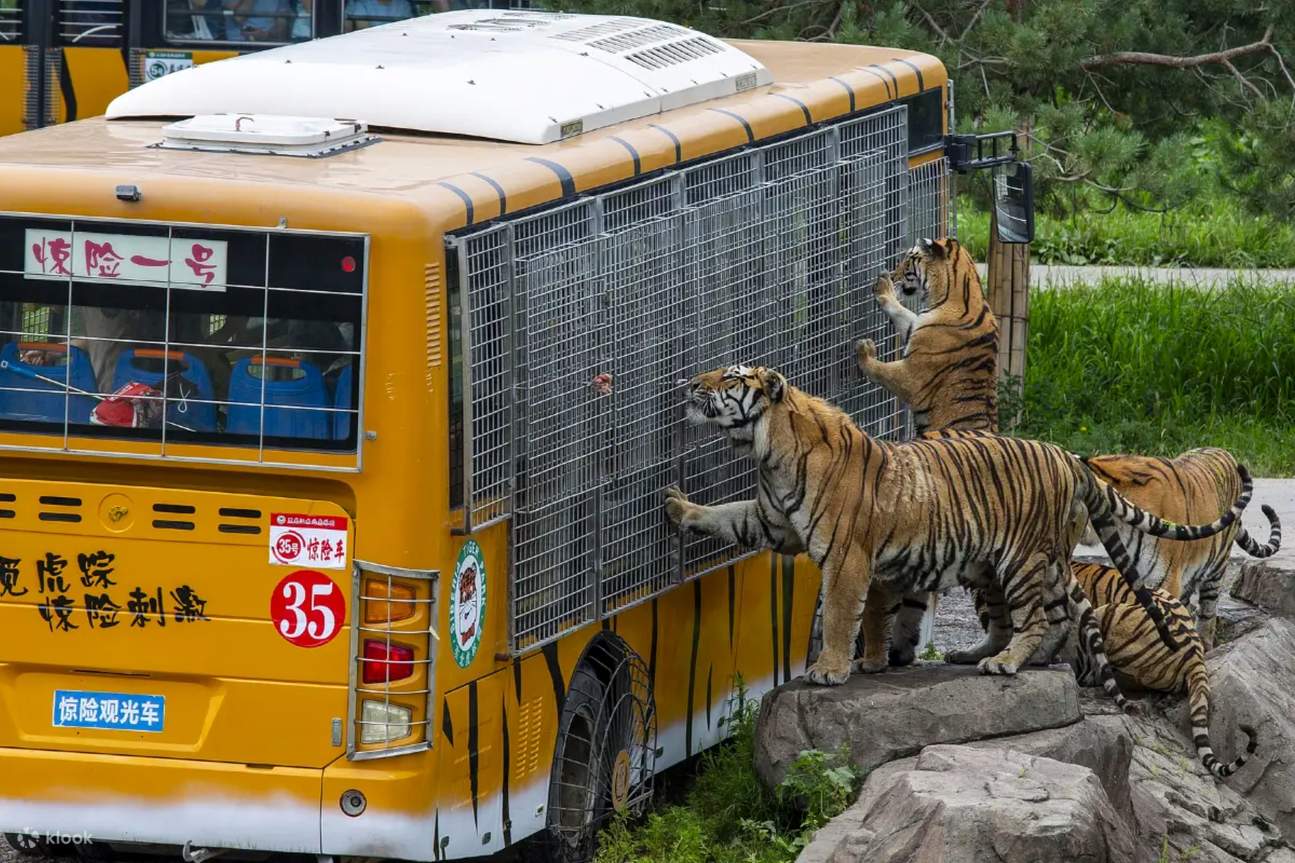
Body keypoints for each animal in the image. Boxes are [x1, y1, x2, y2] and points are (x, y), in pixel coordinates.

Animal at [663, 365, 1254, 685]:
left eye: (730, 377)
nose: (689, 381)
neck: (767, 451)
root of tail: (1069, 456)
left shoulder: (847, 556)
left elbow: (841, 615)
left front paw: (830, 669)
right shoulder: (773, 520)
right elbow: (729, 517)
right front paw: (677, 507)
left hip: (1019, 559)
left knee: (1034, 619)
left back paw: (1005, 664)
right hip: (1018, 564)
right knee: (1051, 619)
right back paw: (995, 657)